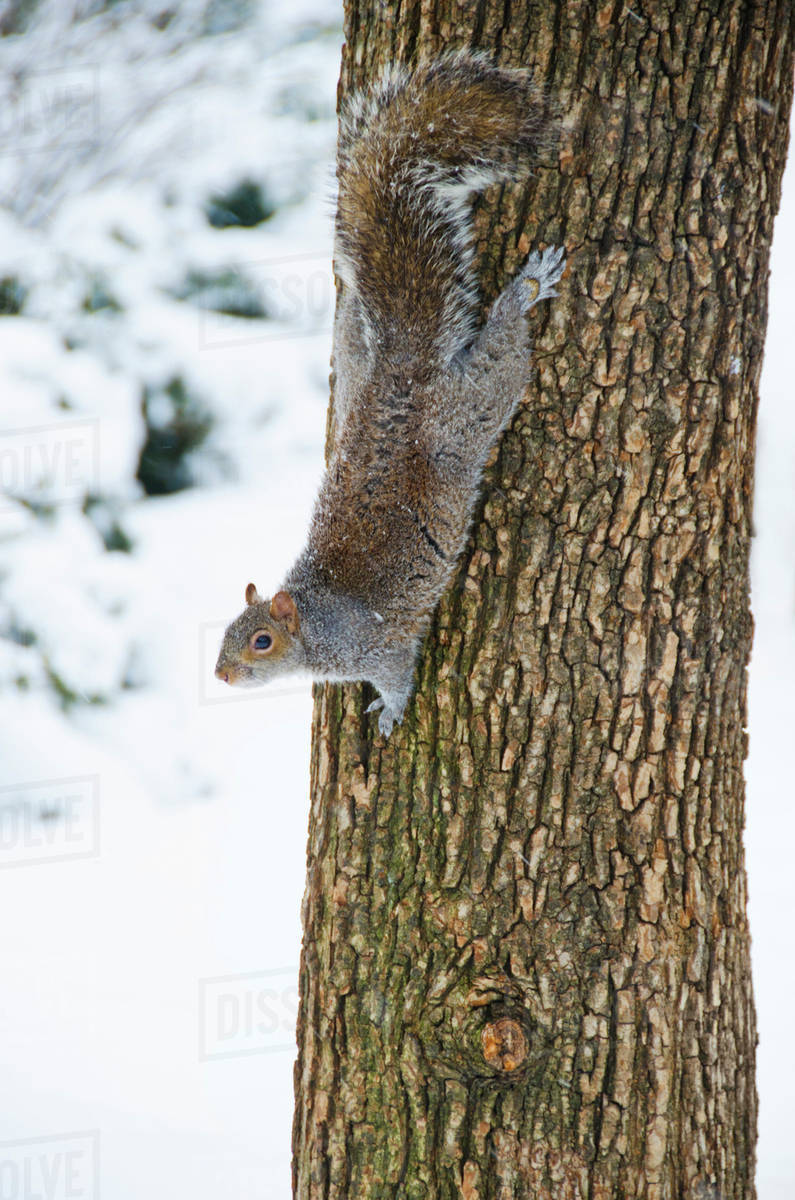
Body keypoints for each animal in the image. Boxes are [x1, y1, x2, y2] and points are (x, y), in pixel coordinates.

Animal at [215, 52, 565, 736]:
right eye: (226, 631)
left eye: (261, 641)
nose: (219, 676)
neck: (319, 620)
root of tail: (400, 374)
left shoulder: (381, 645)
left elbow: (399, 675)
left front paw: (391, 712)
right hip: (356, 371)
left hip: (467, 410)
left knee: (504, 358)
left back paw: (527, 289)